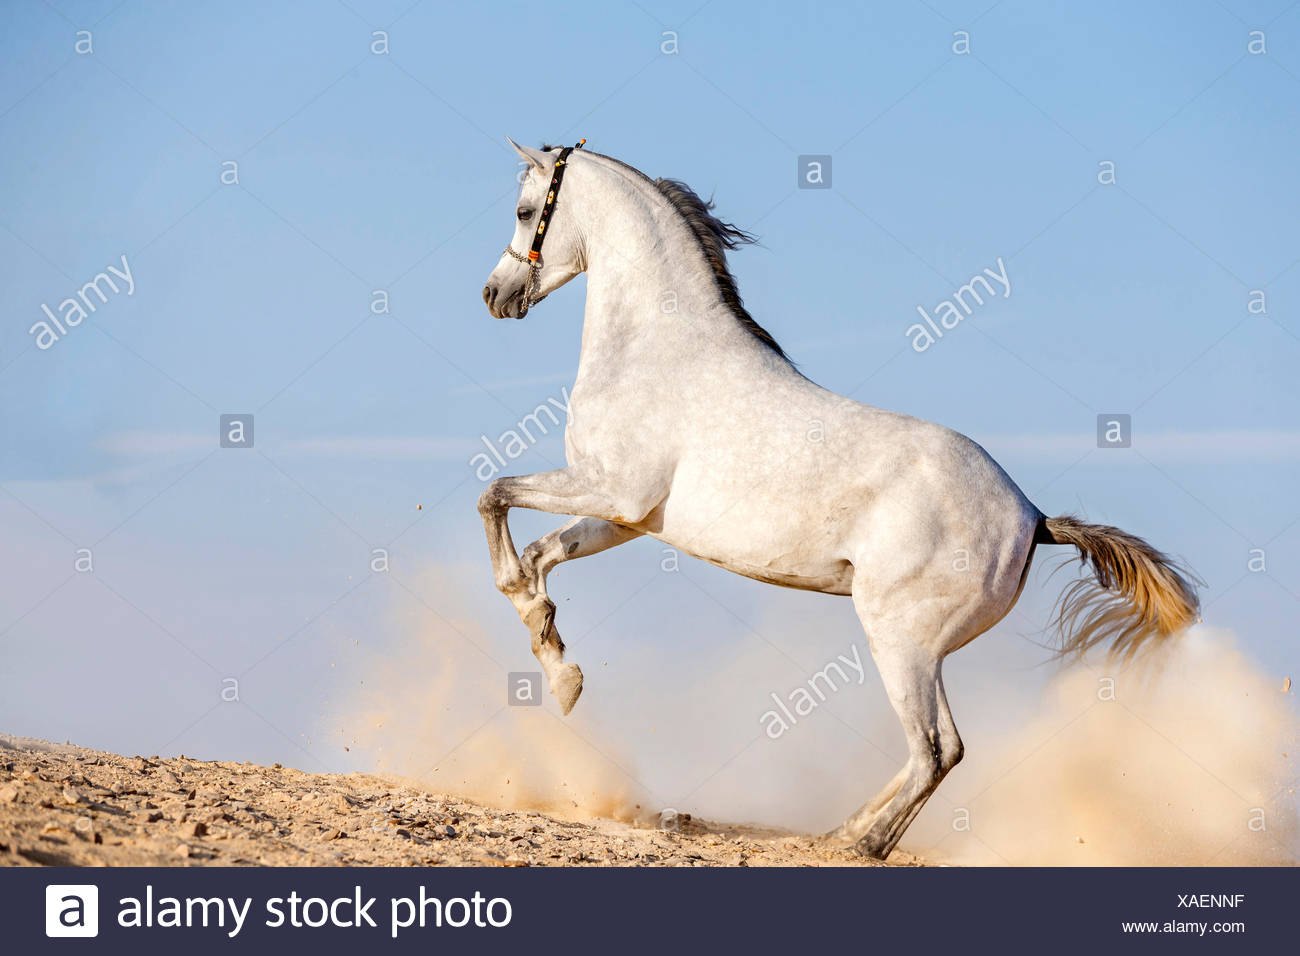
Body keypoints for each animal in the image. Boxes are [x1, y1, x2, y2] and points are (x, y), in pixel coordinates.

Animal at [477, 138, 1200, 860]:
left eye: (524, 211)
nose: (494, 294)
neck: (658, 350)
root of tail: (1031, 518)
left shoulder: (609, 487)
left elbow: (496, 500)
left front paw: (551, 654)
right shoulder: (627, 517)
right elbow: (540, 553)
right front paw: (560, 666)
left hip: (901, 641)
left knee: (937, 749)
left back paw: (862, 845)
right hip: (917, 648)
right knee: (928, 754)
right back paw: (840, 832)